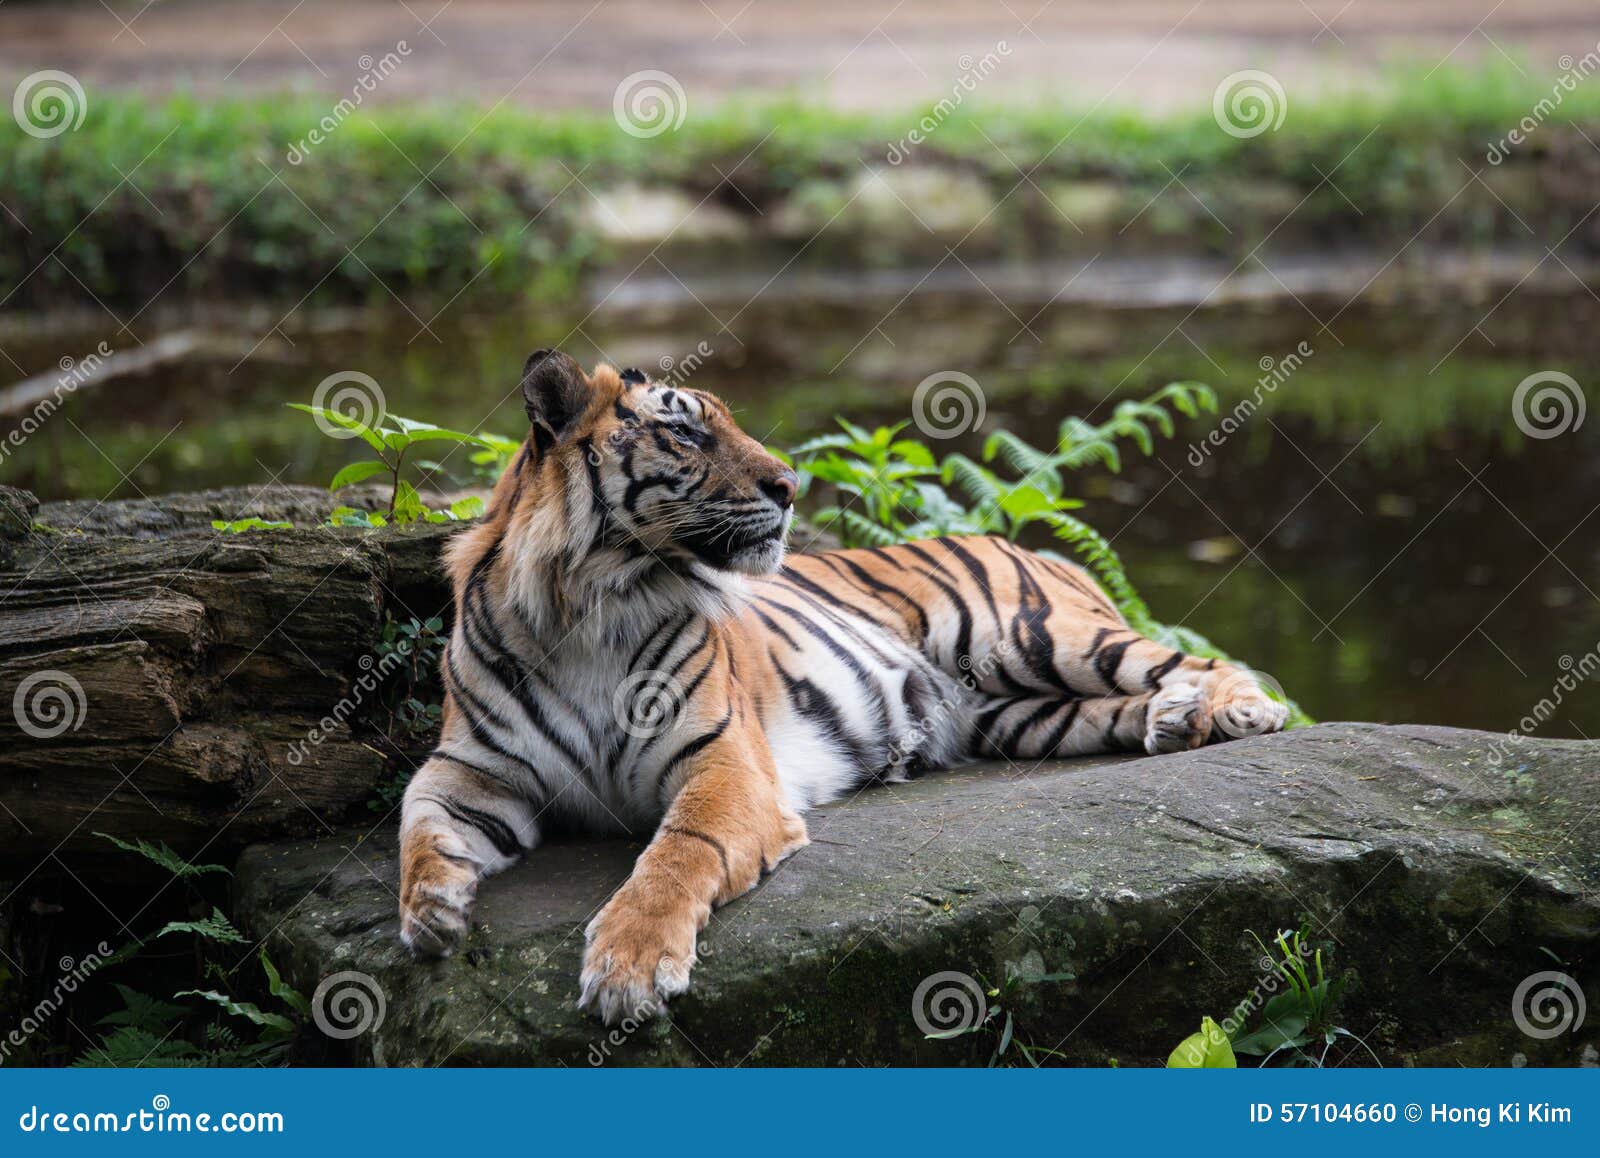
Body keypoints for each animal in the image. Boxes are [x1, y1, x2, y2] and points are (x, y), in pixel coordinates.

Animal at [398, 349, 1289, 1024]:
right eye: (685, 431)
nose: (790, 487)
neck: (591, 607)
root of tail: (1030, 546)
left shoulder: (724, 761)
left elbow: (676, 856)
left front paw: (629, 968)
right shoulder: (471, 767)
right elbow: (419, 825)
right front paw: (433, 911)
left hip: (1030, 634)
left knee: (1196, 661)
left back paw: (1240, 710)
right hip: (1014, 714)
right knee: (1118, 703)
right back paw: (1172, 722)